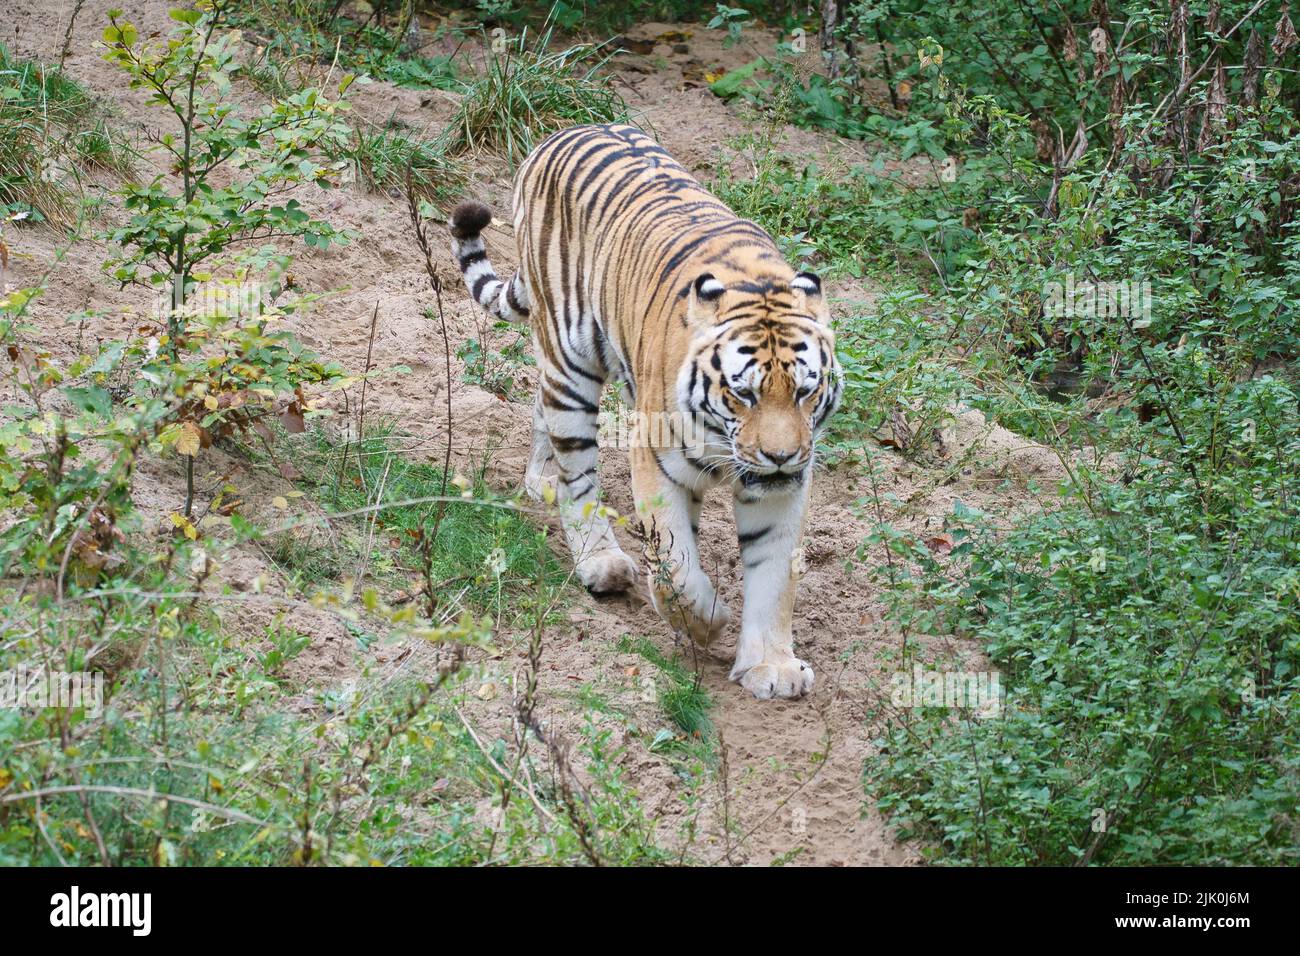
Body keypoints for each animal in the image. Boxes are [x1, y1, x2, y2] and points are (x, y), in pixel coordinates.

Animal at [448, 124, 841, 700]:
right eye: (744, 394)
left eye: (805, 392)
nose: (780, 456)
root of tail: (559, 136)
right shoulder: (657, 460)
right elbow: (675, 566)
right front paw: (706, 620)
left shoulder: (783, 488)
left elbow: (774, 575)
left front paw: (771, 667)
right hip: (572, 366)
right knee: (577, 474)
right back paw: (601, 562)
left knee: (543, 410)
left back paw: (540, 480)